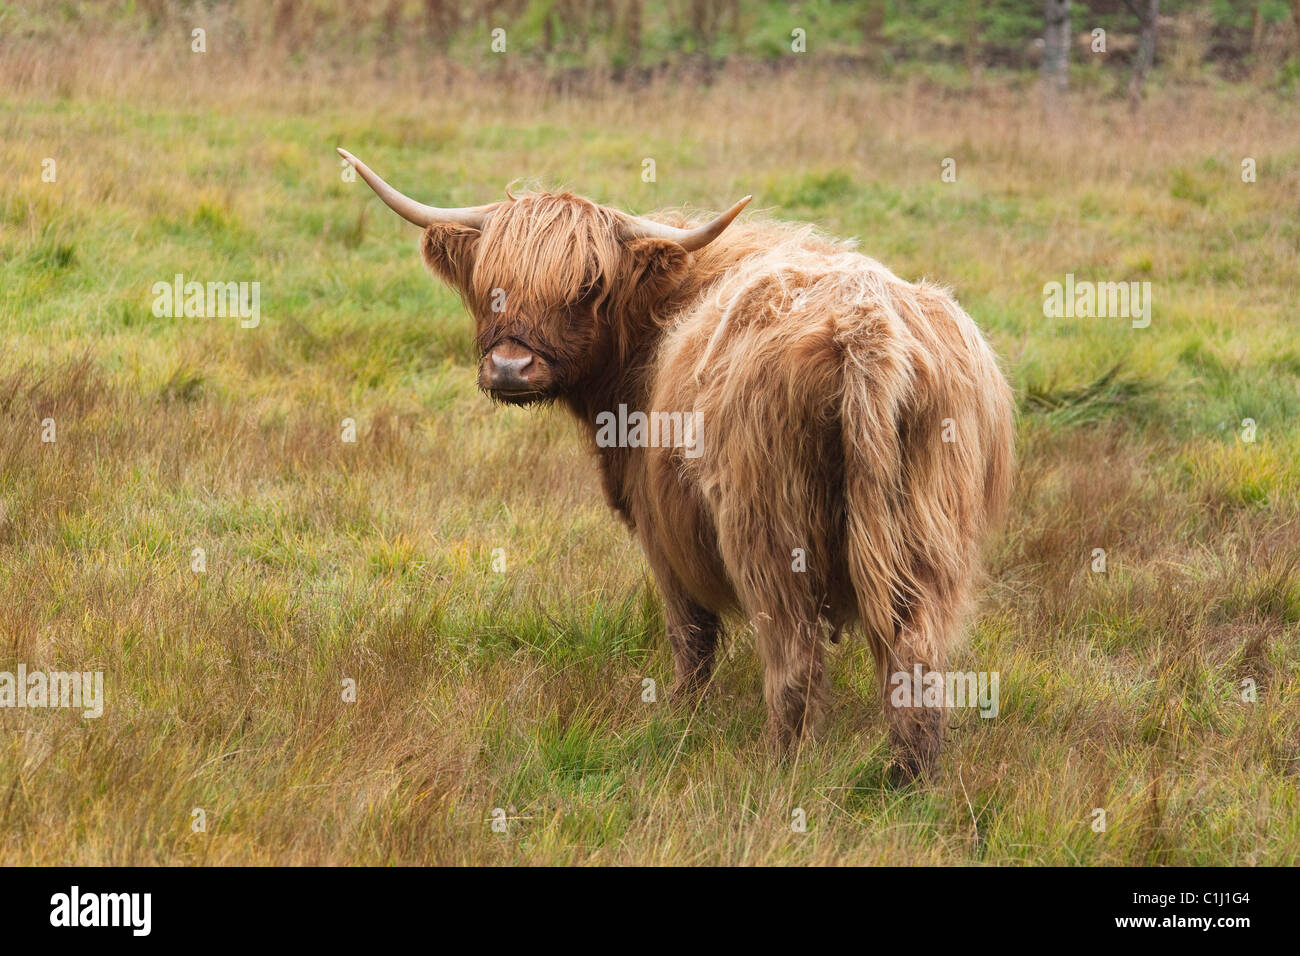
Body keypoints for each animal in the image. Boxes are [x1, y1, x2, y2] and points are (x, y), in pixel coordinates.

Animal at [338, 147, 1015, 781]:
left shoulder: (662, 535)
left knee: (794, 658)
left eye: (588, 287)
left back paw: (780, 772)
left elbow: (691, 636)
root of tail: (864, 330)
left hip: (770, 536)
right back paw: (909, 781)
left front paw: (682, 721)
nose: (509, 367)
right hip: (927, 533)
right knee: (916, 653)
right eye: (489, 284)